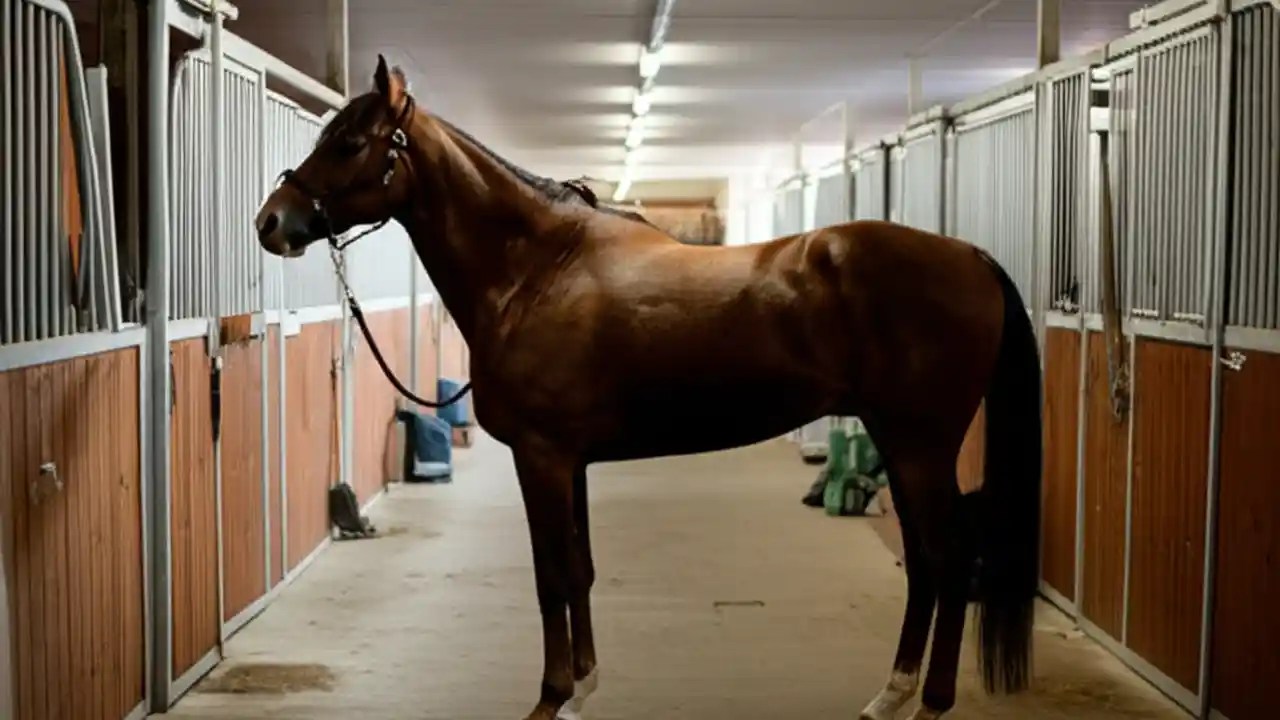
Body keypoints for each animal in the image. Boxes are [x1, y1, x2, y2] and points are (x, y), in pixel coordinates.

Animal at [254, 55, 1043, 720]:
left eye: (351, 142)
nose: (271, 222)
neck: (535, 270)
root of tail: (970, 256)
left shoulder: (540, 457)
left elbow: (550, 574)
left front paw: (550, 697)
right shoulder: (567, 461)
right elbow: (579, 570)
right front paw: (583, 688)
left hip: (919, 445)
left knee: (950, 558)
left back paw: (929, 701)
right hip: (902, 442)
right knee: (929, 560)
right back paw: (893, 696)